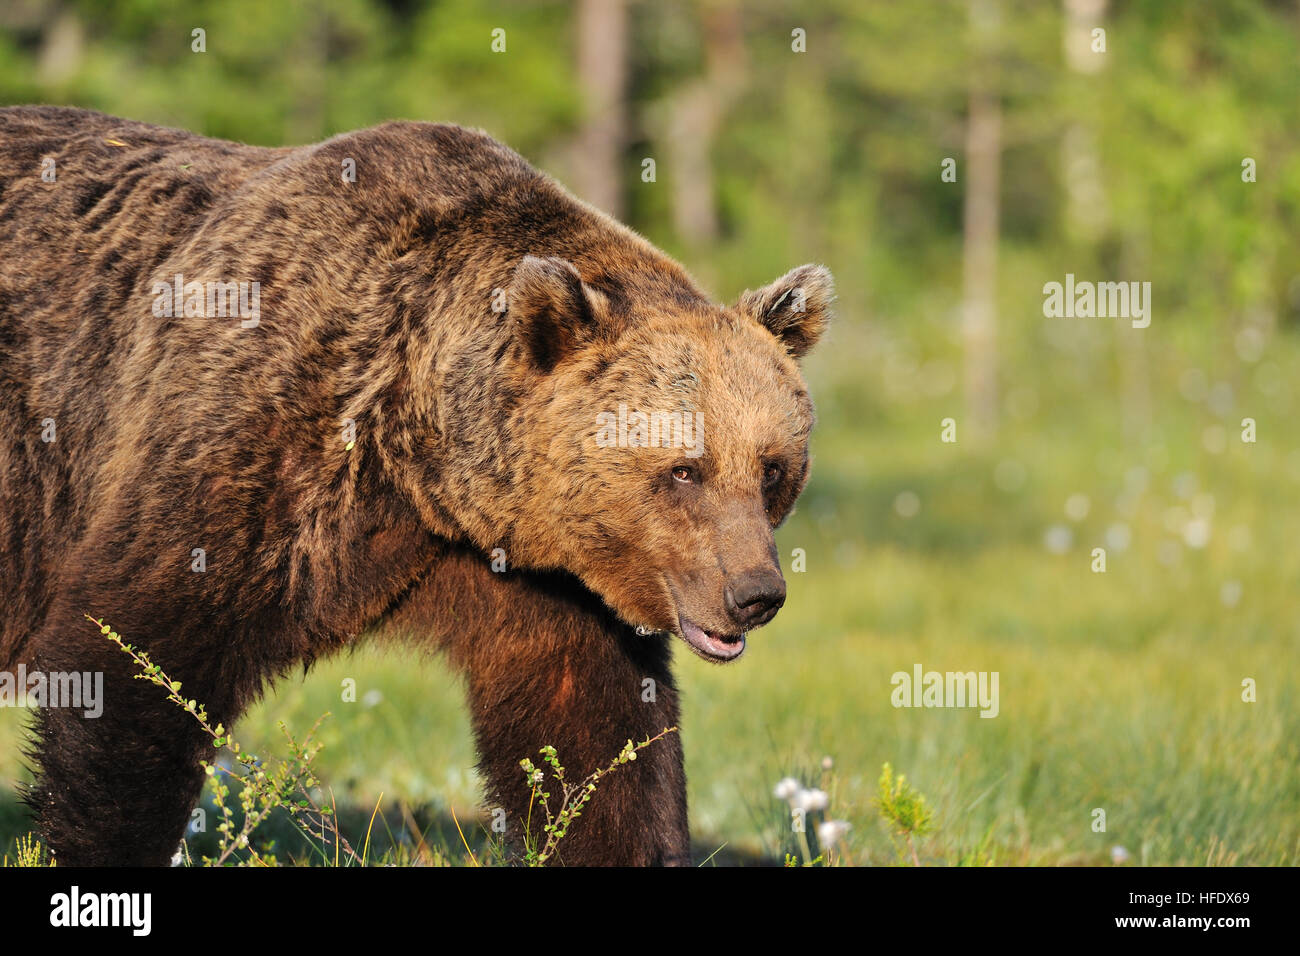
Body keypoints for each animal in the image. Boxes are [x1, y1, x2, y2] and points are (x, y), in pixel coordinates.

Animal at [0, 105, 832, 866]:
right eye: (684, 469)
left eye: (771, 468)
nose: (754, 593)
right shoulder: (249, 438)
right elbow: (135, 655)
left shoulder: (537, 576)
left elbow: (590, 727)